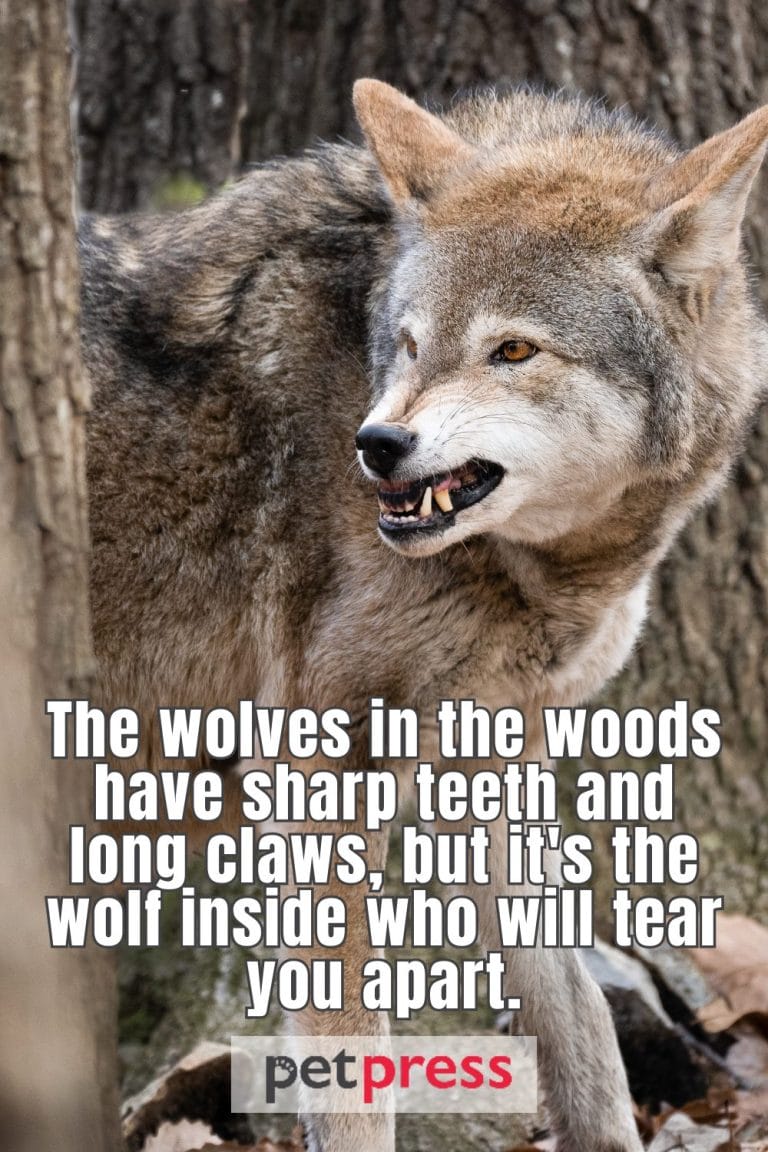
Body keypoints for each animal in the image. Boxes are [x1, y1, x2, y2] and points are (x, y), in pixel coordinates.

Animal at [80, 79, 768, 1152]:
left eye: (513, 349)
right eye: (406, 346)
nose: (376, 444)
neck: (549, 570)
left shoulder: (495, 767)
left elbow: (583, 1027)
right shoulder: (322, 777)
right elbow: (353, 1069)